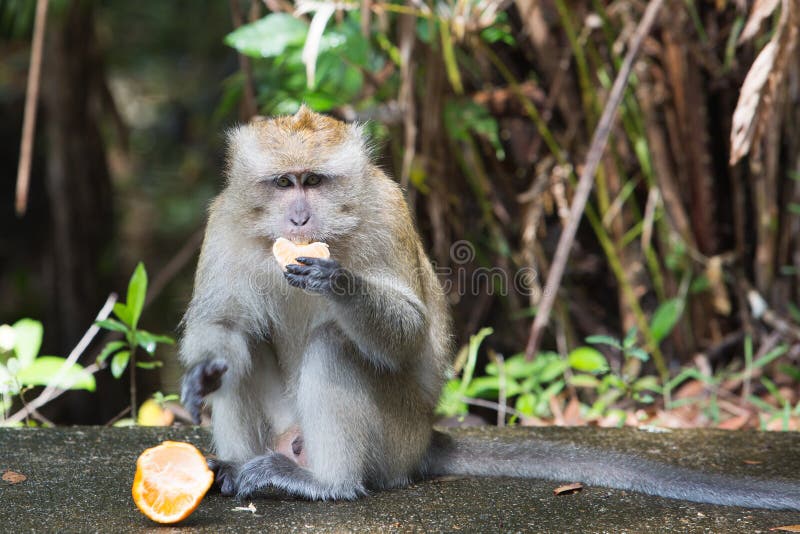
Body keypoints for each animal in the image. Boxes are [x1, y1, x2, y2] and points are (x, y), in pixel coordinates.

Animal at [179, 106, 800, 510]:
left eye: (314, 180)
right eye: (284, 183)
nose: (300, 218)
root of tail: (424, 439)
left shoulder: (384, 210)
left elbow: (406, 332)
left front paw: (340, 280)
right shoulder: (224, 221)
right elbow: (222, 325)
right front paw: (203, 372)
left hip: (396, 437)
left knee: (336, 344)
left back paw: (329, 483)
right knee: (246, 345)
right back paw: (233, 467)